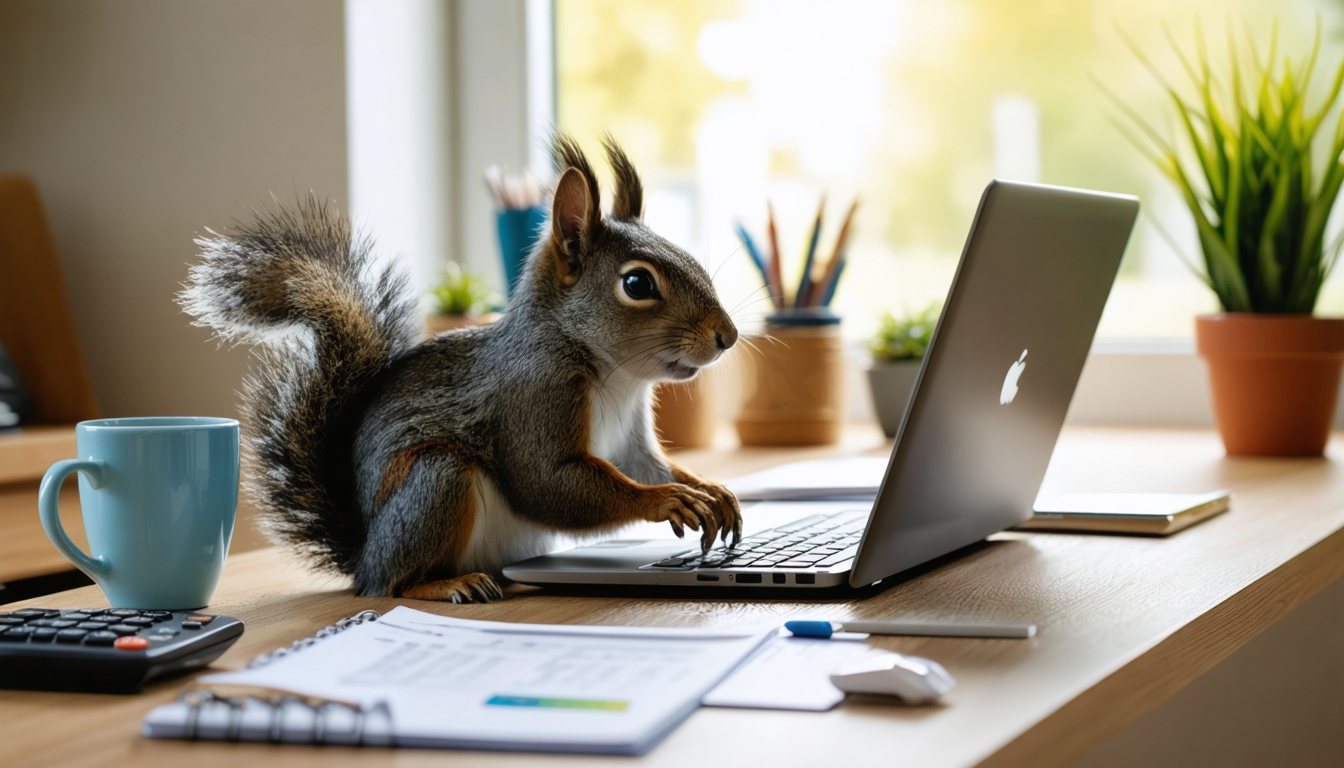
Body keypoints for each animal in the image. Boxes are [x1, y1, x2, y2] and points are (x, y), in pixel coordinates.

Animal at [178, 135, 742, 603]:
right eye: (637, 284)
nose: (729, 336)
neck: (617, 374)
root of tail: (364, 556)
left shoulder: (628, 437)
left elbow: (646, 465)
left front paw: (708, 490)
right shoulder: (531, 394)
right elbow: (549, 482)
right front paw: (667, 500)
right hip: (437, 484)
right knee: (391, 584)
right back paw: (449, 584)